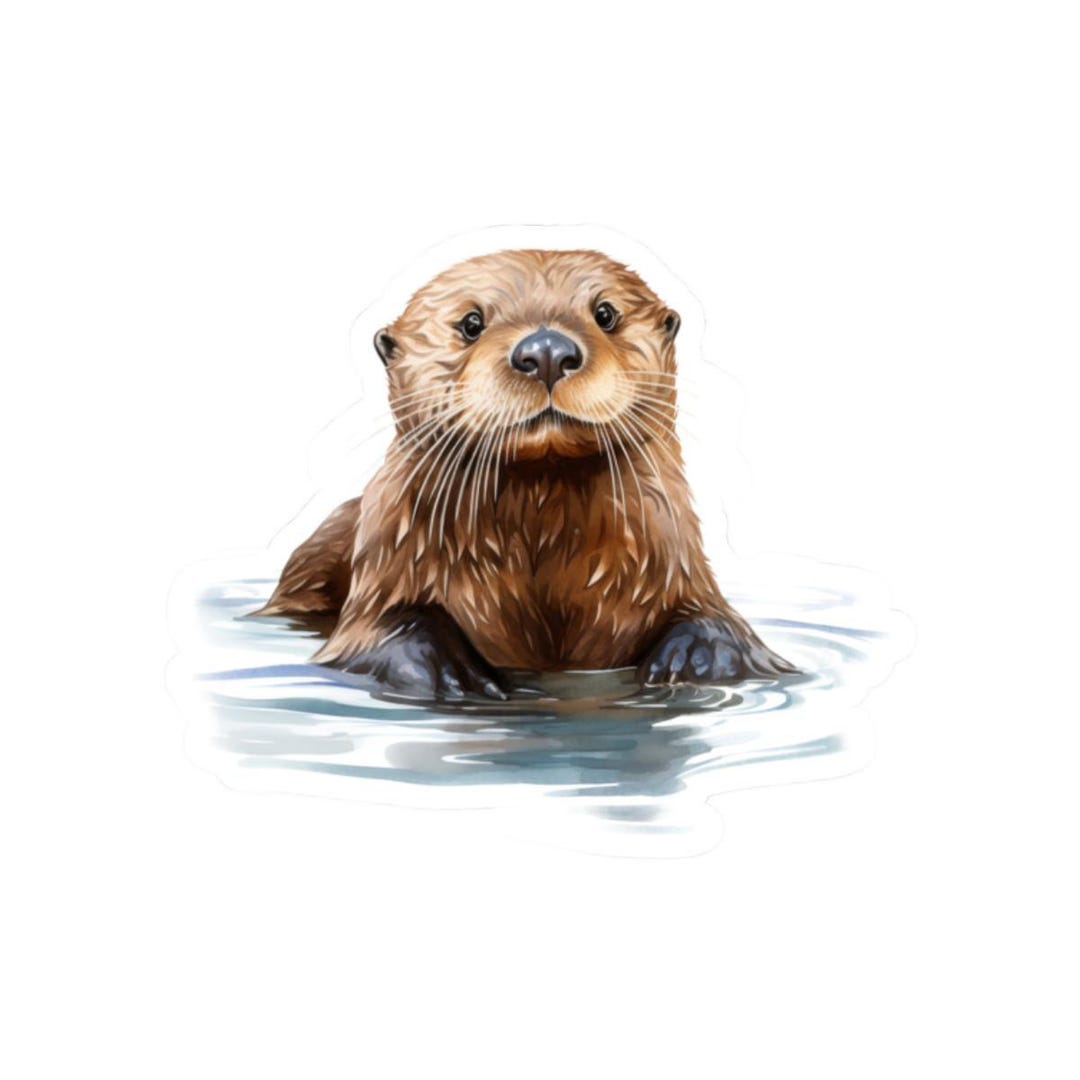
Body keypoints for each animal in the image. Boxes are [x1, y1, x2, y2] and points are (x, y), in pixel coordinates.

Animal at [253, 249, 795, 699]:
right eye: (471, 322)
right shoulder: (381, 579)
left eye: (605, 313)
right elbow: (380, 631)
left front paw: (690, 661)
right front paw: (454, 673)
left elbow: (723, 626)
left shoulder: (680, 566)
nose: (547, 350)